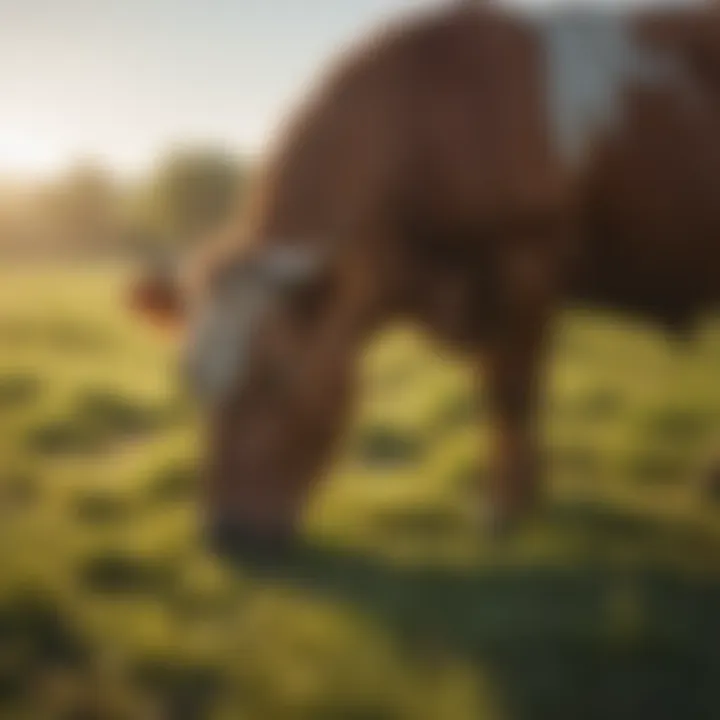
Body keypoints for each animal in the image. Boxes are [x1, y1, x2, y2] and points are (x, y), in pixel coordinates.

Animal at [129, 0, 720, 556]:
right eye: (189, 379)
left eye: (276, 377)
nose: (225, 535)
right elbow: (495, 384)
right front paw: (525, 497)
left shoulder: (527, 257)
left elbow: (511, 391)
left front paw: (504, 510)